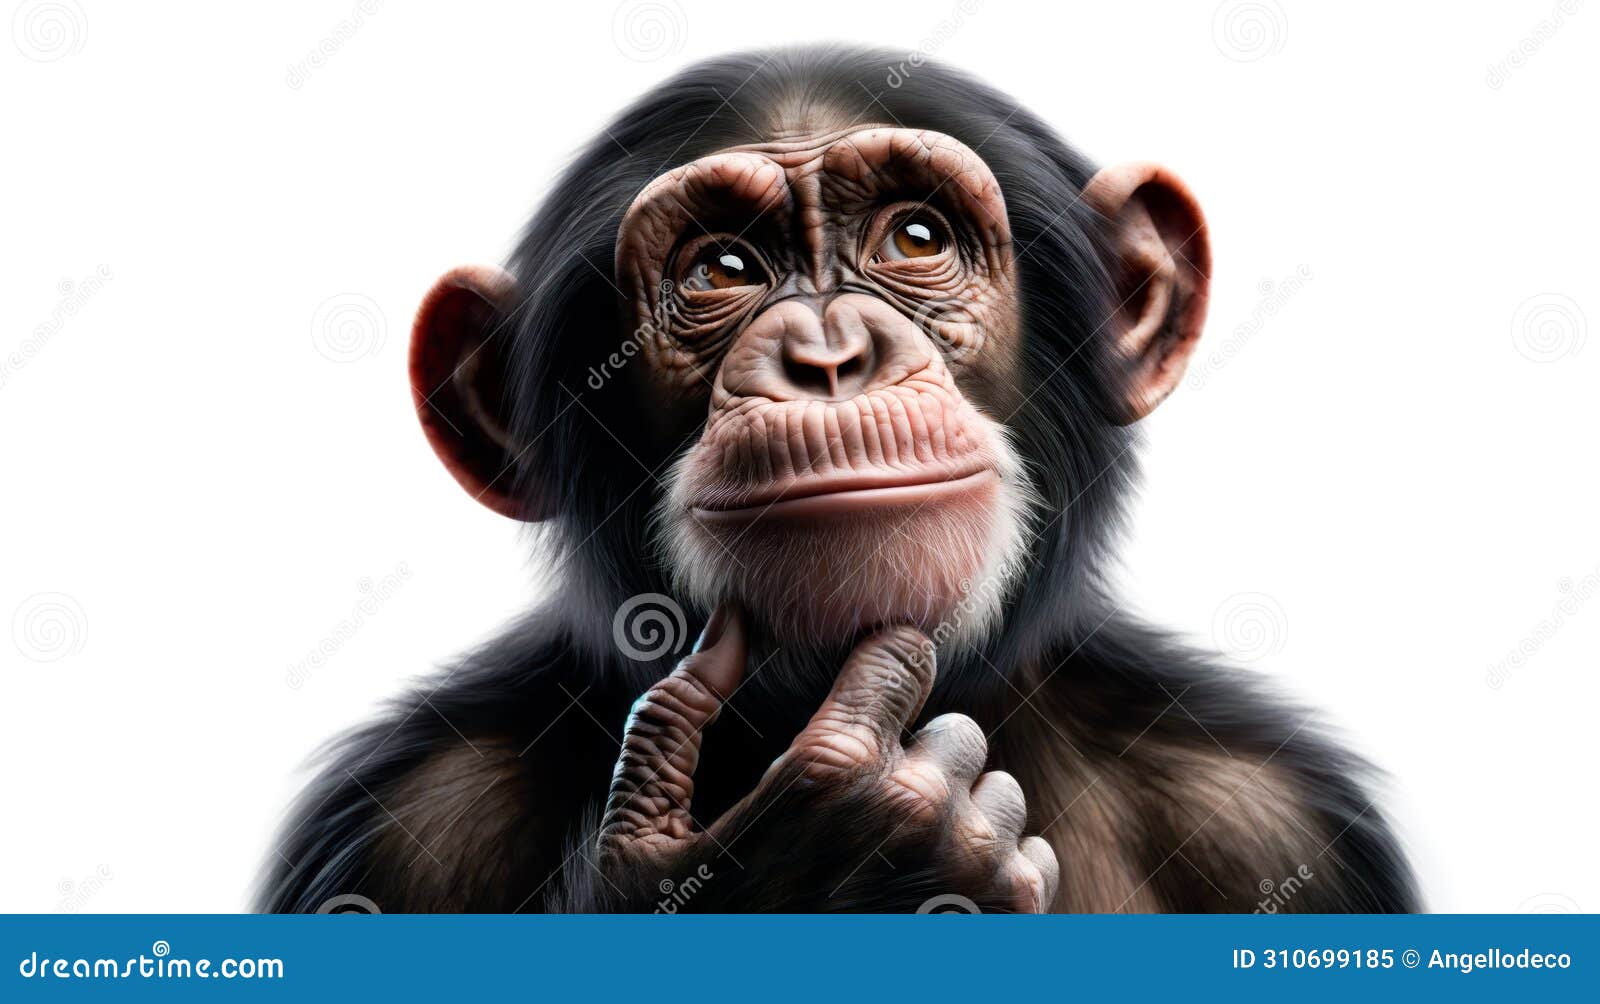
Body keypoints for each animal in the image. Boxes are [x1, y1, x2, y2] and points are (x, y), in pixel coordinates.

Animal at [257, 45, 1418, 914]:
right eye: (722, 268)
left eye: (915, 235)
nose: (827, 355)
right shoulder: (399, 827)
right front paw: (841, 855)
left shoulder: (1276, 825)